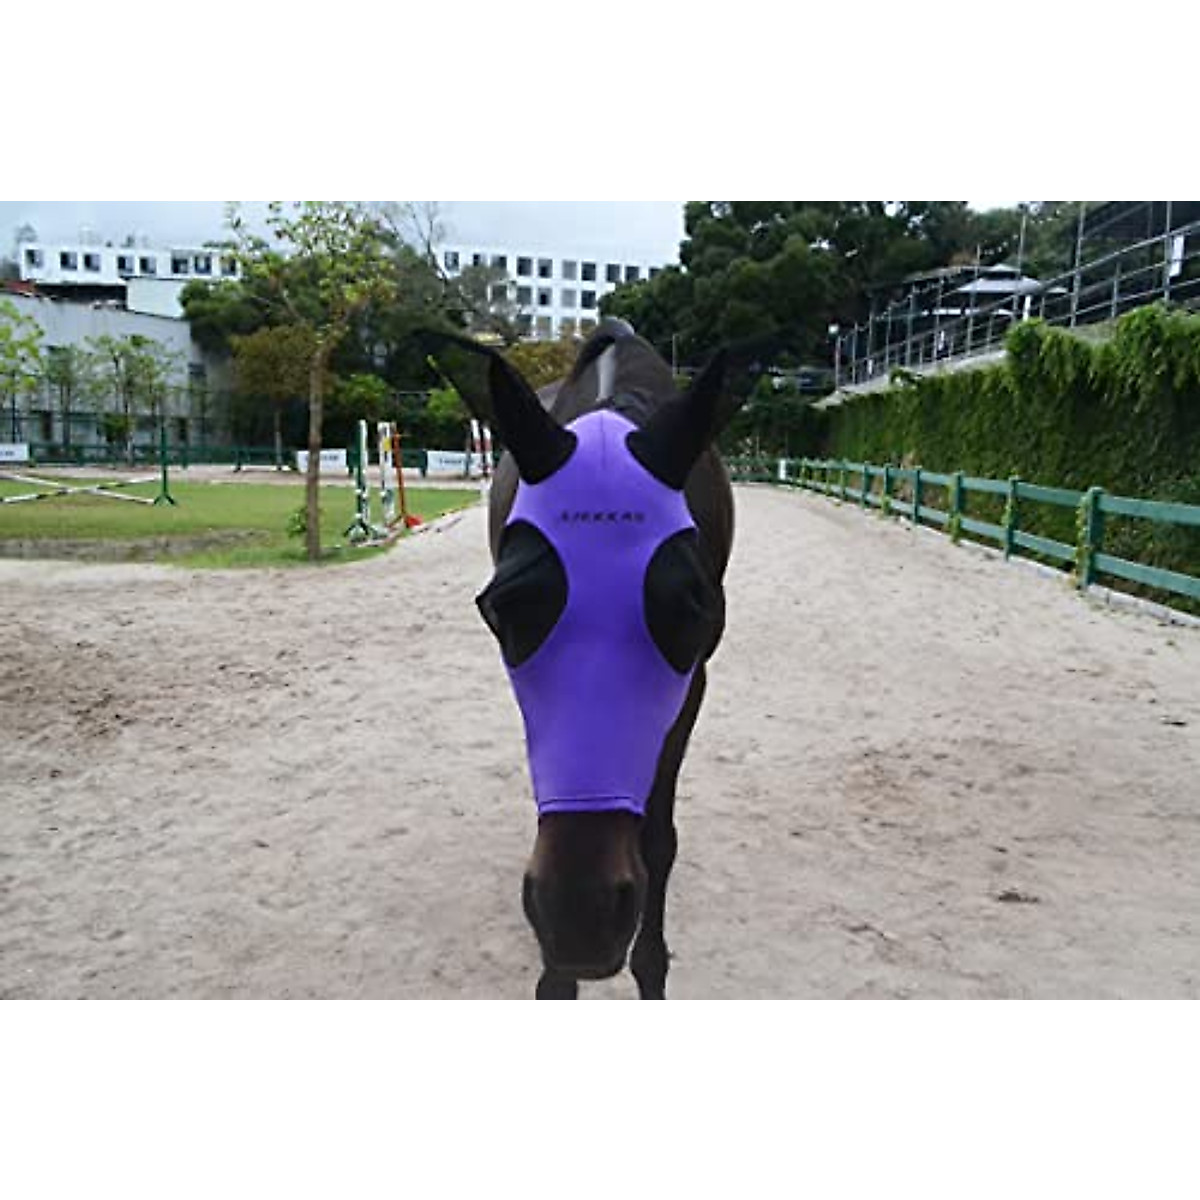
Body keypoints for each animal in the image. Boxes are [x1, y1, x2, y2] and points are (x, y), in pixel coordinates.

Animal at [420, 319, 746, 999]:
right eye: (503, 609)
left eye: (693, 612)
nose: (581, 917)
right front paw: (556, 976)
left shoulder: (694, 678)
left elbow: (658, 837)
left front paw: (649, 964)